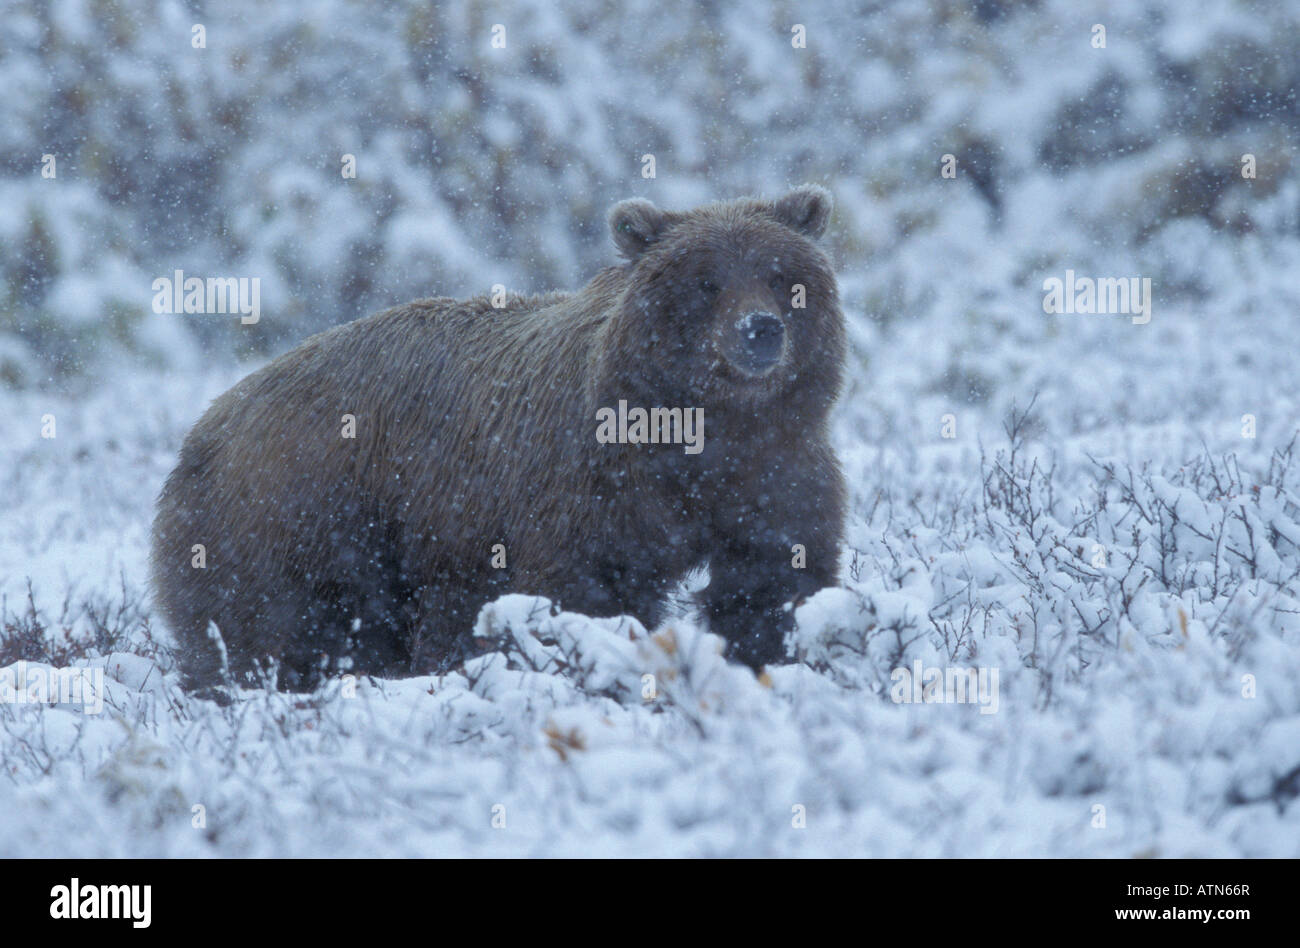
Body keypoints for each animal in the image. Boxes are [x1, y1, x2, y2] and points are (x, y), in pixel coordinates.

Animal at [150, 185, 847, 692]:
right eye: (707, 281)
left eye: (780, 274)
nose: (759, 329)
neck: (701, 430)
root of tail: (205, 424)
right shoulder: (592, 488)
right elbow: (590, 590)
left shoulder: (775, 470)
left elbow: (774, 578)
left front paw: (769, 654)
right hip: (297, 511)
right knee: (265, 621)